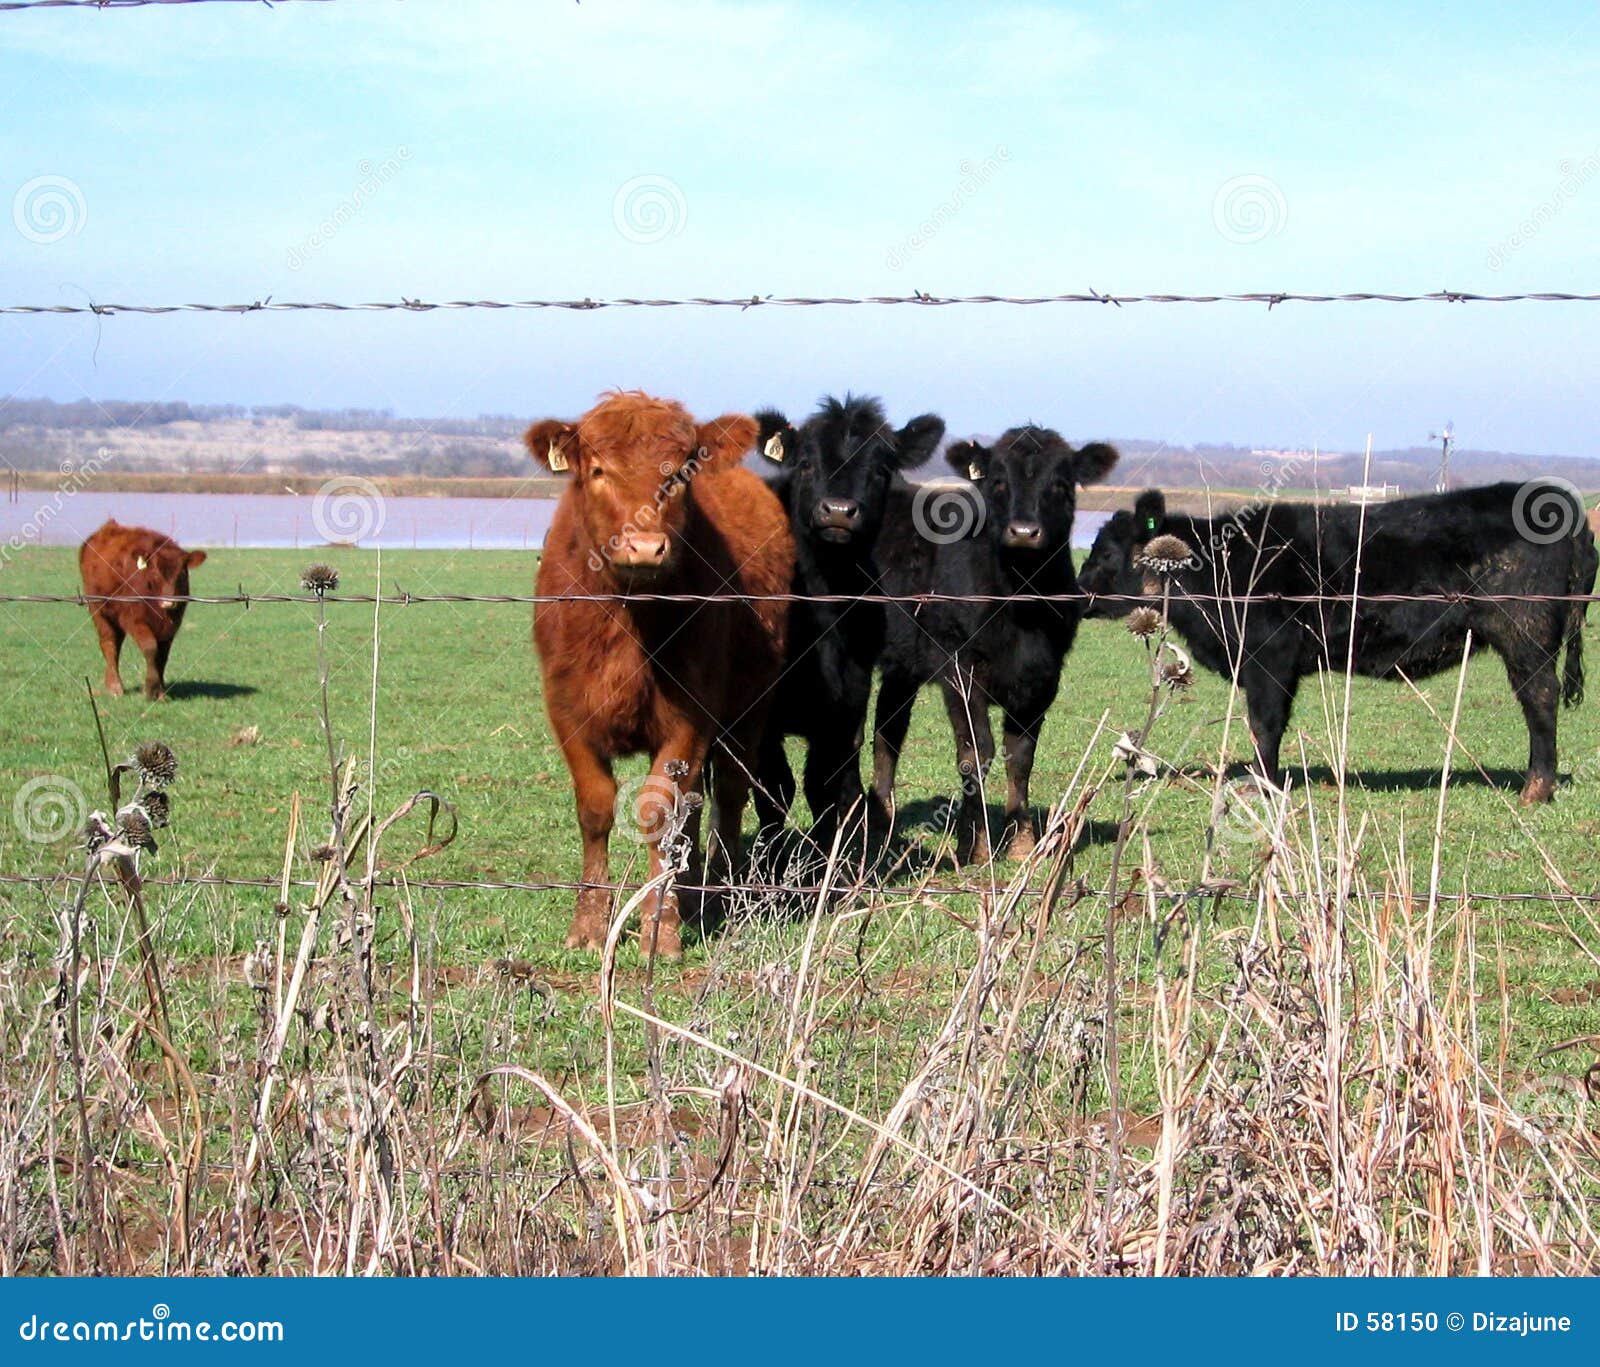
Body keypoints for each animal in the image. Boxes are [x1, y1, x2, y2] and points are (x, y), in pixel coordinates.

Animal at [79, 520, 207, 701]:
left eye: (181, 573)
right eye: (155, 572)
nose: (169, 602)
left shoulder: (172, 626)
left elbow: (162, 656)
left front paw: (161, 692)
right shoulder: (133, 619)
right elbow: (150, 648)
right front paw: (151, 689)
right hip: (99, 610)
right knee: (109, 644)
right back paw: (114, 687)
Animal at [527, 392, 794, 958]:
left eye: (679, 474)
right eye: (599, 470)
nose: (645, 547)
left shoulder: (690, 717)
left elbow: (657, 812)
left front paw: (660, 927)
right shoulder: (567, 708)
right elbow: (596, 808)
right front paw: (589, 924)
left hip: (749, 708)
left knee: (729, 792)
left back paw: (719, 884)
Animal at [752, 395, 945, 856]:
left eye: (880, 469)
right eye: (805, 462)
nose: (838, 511)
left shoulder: (845, 702)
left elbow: (822, 784)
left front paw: (826, 861)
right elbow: (774, 790)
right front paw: (765, 865)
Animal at [871, 426, 1120, 862]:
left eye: (1060, 484)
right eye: (998, 482)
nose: (1023, 532)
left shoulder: (1042, 674)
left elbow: (1020, 756)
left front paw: (1022, 841)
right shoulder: (958, 666)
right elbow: (976, 753)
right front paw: (976, 845)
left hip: (901, 665)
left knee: (888, 732)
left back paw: (883, 818)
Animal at [1078, 482, 1599, 803]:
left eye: (1104, 554)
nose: (1077, 592)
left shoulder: (1269, 658)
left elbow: (1264, 724)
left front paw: (1260, 784)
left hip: (1525, 632)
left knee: (1540, 697)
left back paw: (1536, 788)